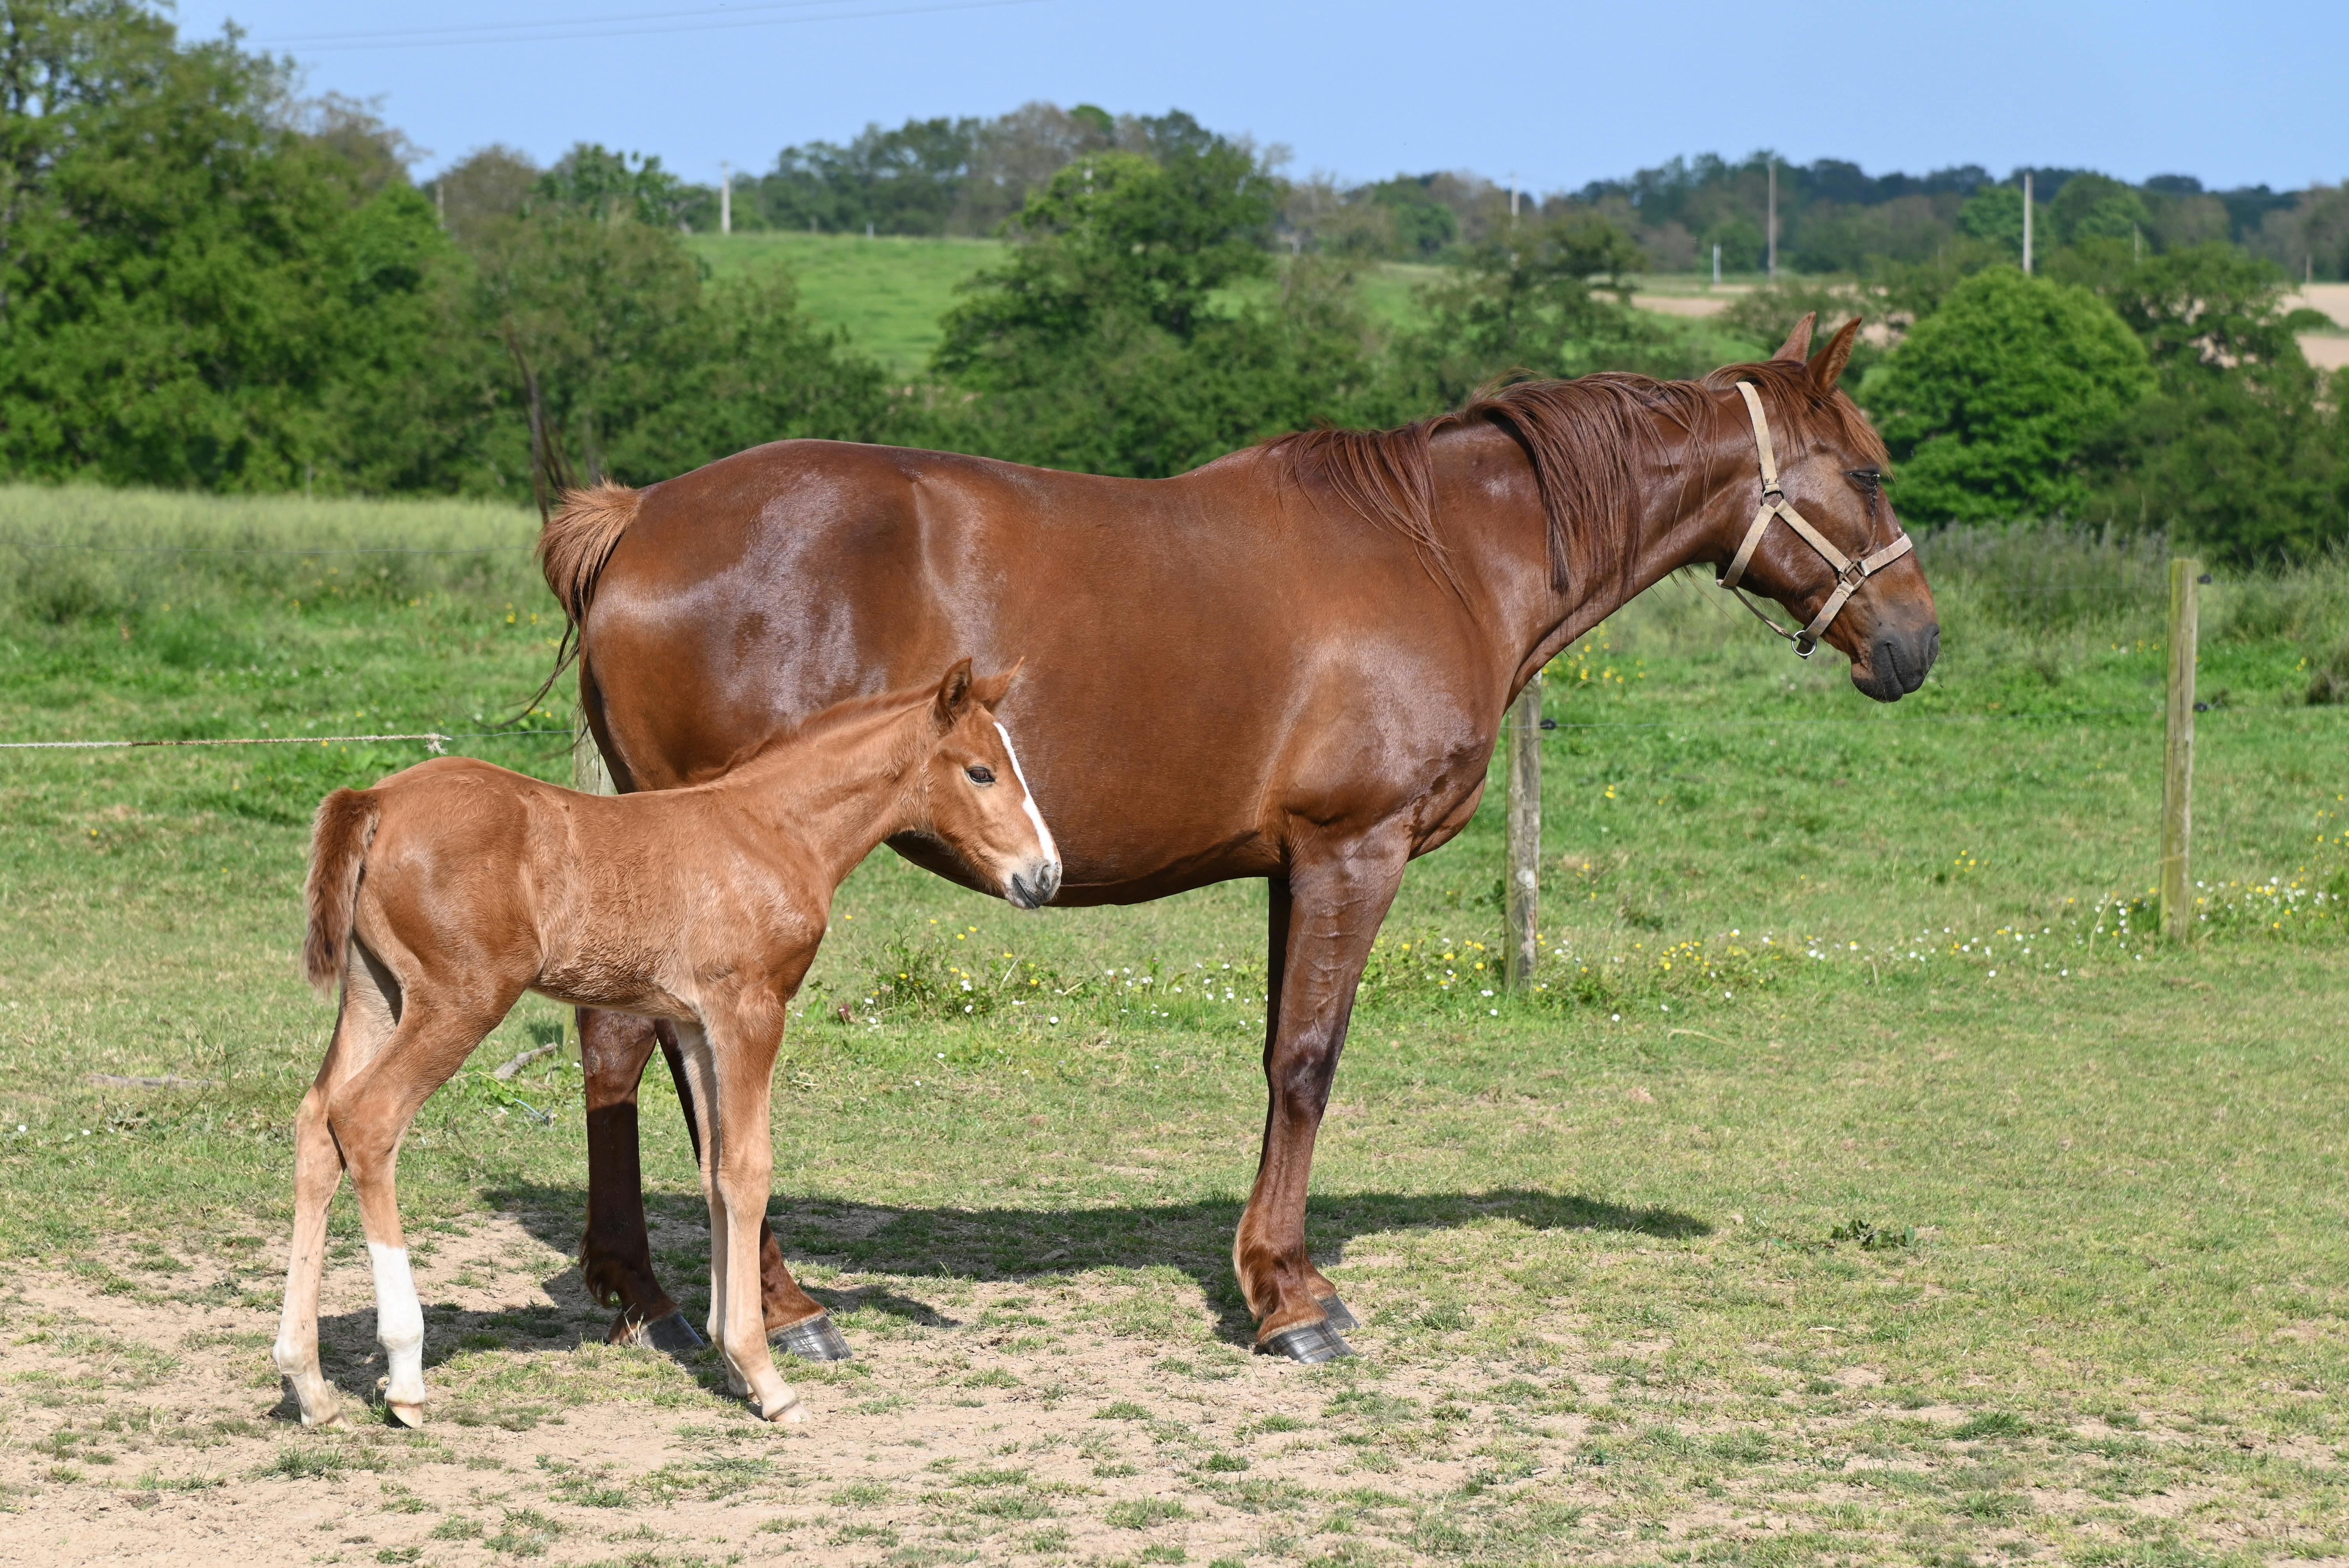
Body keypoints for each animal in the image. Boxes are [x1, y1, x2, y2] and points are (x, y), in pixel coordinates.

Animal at [272, 661, 1058, 1427]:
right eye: (981, 772)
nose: (1044, 874)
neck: (772, 830)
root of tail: (375, 798)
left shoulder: (693, 1022)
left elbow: (713, 1169)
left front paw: (733, 1362)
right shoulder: (750, 1010)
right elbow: (748, 1170)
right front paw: (768, 1377)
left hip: (376, 994)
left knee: (317, 1122)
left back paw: (310, 1384)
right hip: (459, 1001)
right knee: (367, 1119)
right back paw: (405, 1378)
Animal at [543, 314, 1939, 1364]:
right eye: (1869, 474)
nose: (1917, 645)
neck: (1444, 550)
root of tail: (641, 517)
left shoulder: (1291, 870)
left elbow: (1279, 1056)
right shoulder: (1351, 852)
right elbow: (1308, 1065)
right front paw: (1290, 1299)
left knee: (614, 1044)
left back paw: (646, 1297)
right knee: (696, 1071)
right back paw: (779, 1307)